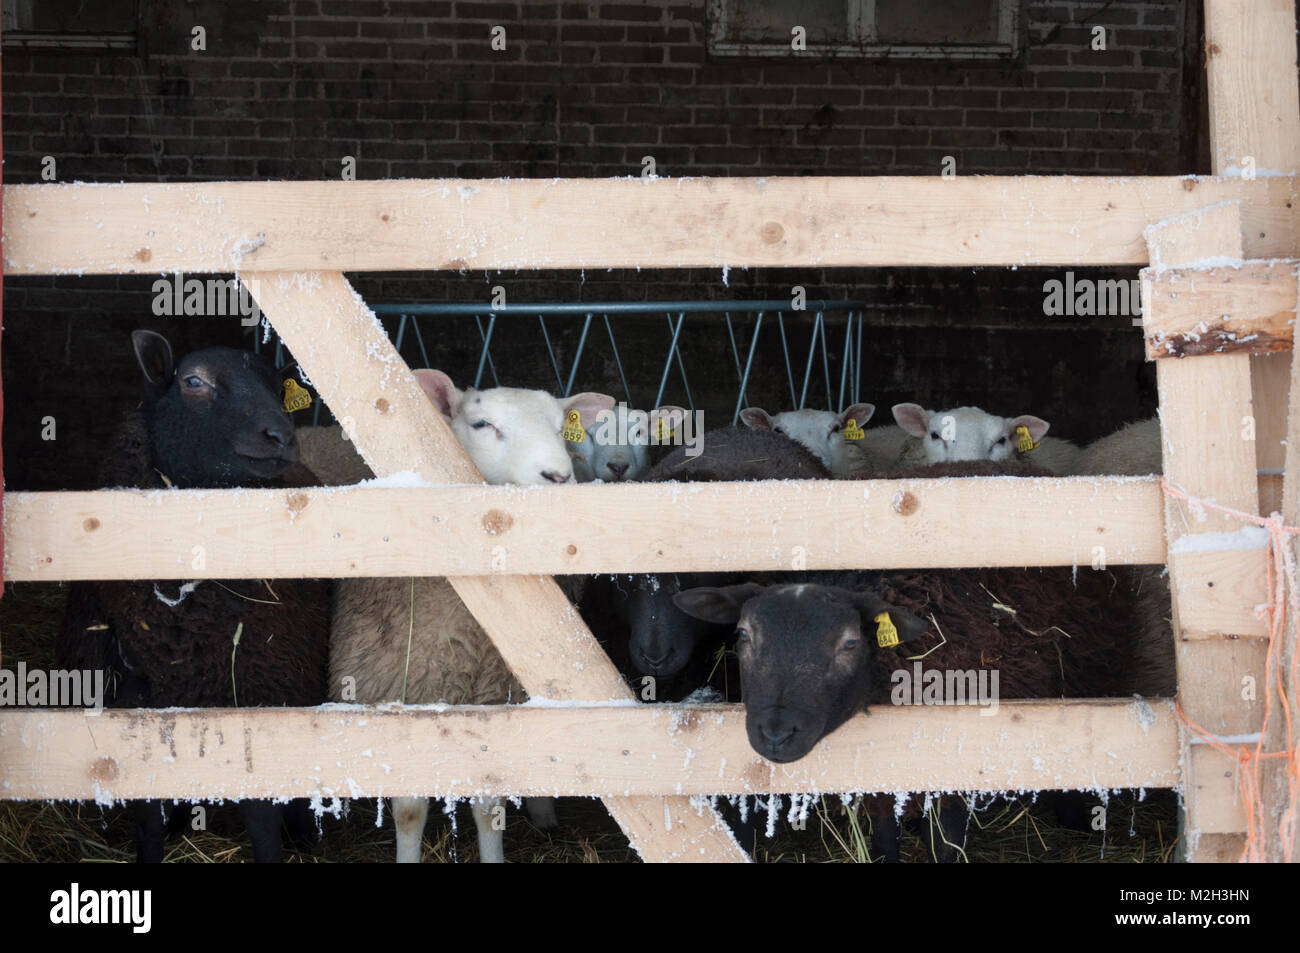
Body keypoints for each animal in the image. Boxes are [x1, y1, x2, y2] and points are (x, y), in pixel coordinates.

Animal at [55, 330, 331, 863]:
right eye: (194, 382)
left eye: (275, 384)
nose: (282, 437)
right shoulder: (135, 711)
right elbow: (147, 816)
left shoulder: (261, 700)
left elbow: (261, 816)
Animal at [328, 371, 615, 862]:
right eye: (481, 424)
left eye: (562, 427)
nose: (558, 475)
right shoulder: (406, 696)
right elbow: (410, 811)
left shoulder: (495, 701)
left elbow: (489, 804)